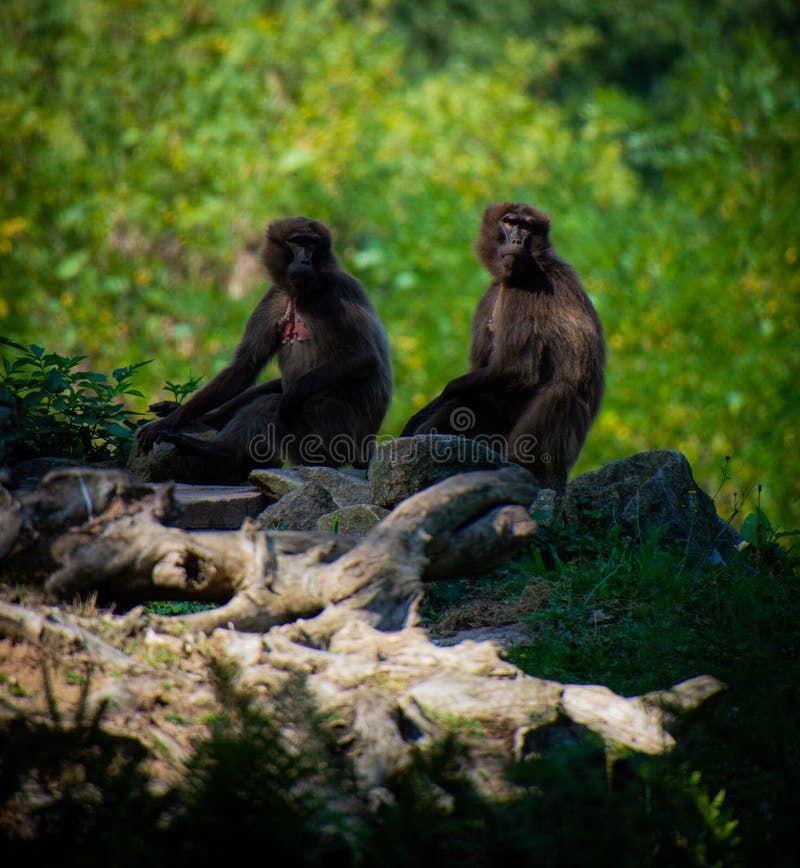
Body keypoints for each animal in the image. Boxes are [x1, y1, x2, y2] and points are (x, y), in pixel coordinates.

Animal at [136, 216, 393, 483]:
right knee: (268, 390)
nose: (305, 260)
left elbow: (364, 357)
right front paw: (174, 418)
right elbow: (244, 368)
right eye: (297, 242)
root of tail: (364, 447)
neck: (301, 294)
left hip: (332, 433)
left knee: (272, 404)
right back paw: (203, 422)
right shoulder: (274, 297)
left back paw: (218, 449)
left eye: (312, 243)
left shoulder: (337, 293)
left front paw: (292, 396)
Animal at [401, 202, 605, 491]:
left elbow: (517, 369)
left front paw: (436, 402)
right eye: (509, 222)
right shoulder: (491, 293)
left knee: (559, 392)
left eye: (527, 227)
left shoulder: (524, 288)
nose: (517, 240)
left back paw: (519, 465)